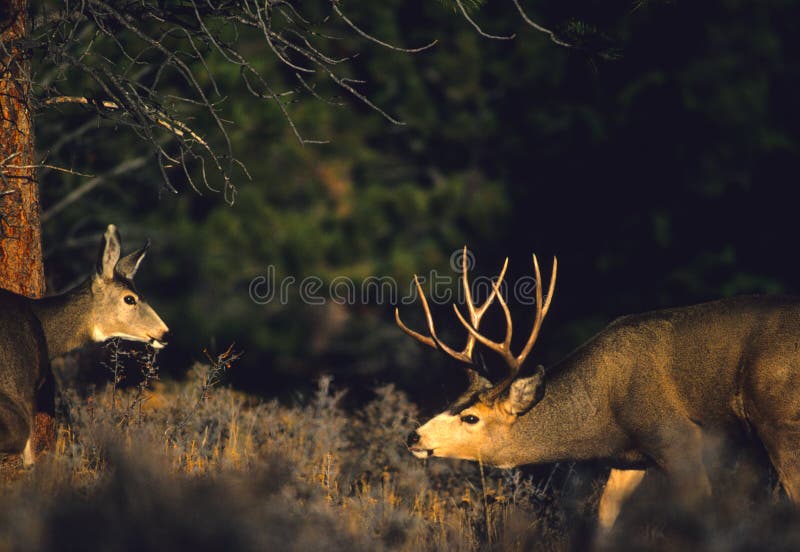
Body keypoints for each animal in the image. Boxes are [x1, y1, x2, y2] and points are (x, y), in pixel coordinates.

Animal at [397, 248, 800, 530]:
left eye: (471, 417)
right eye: (453, 400)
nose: (413, 436)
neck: (602, 414)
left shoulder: (675, 435)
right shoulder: (628, 459)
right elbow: (605, 514)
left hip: (778, 418)